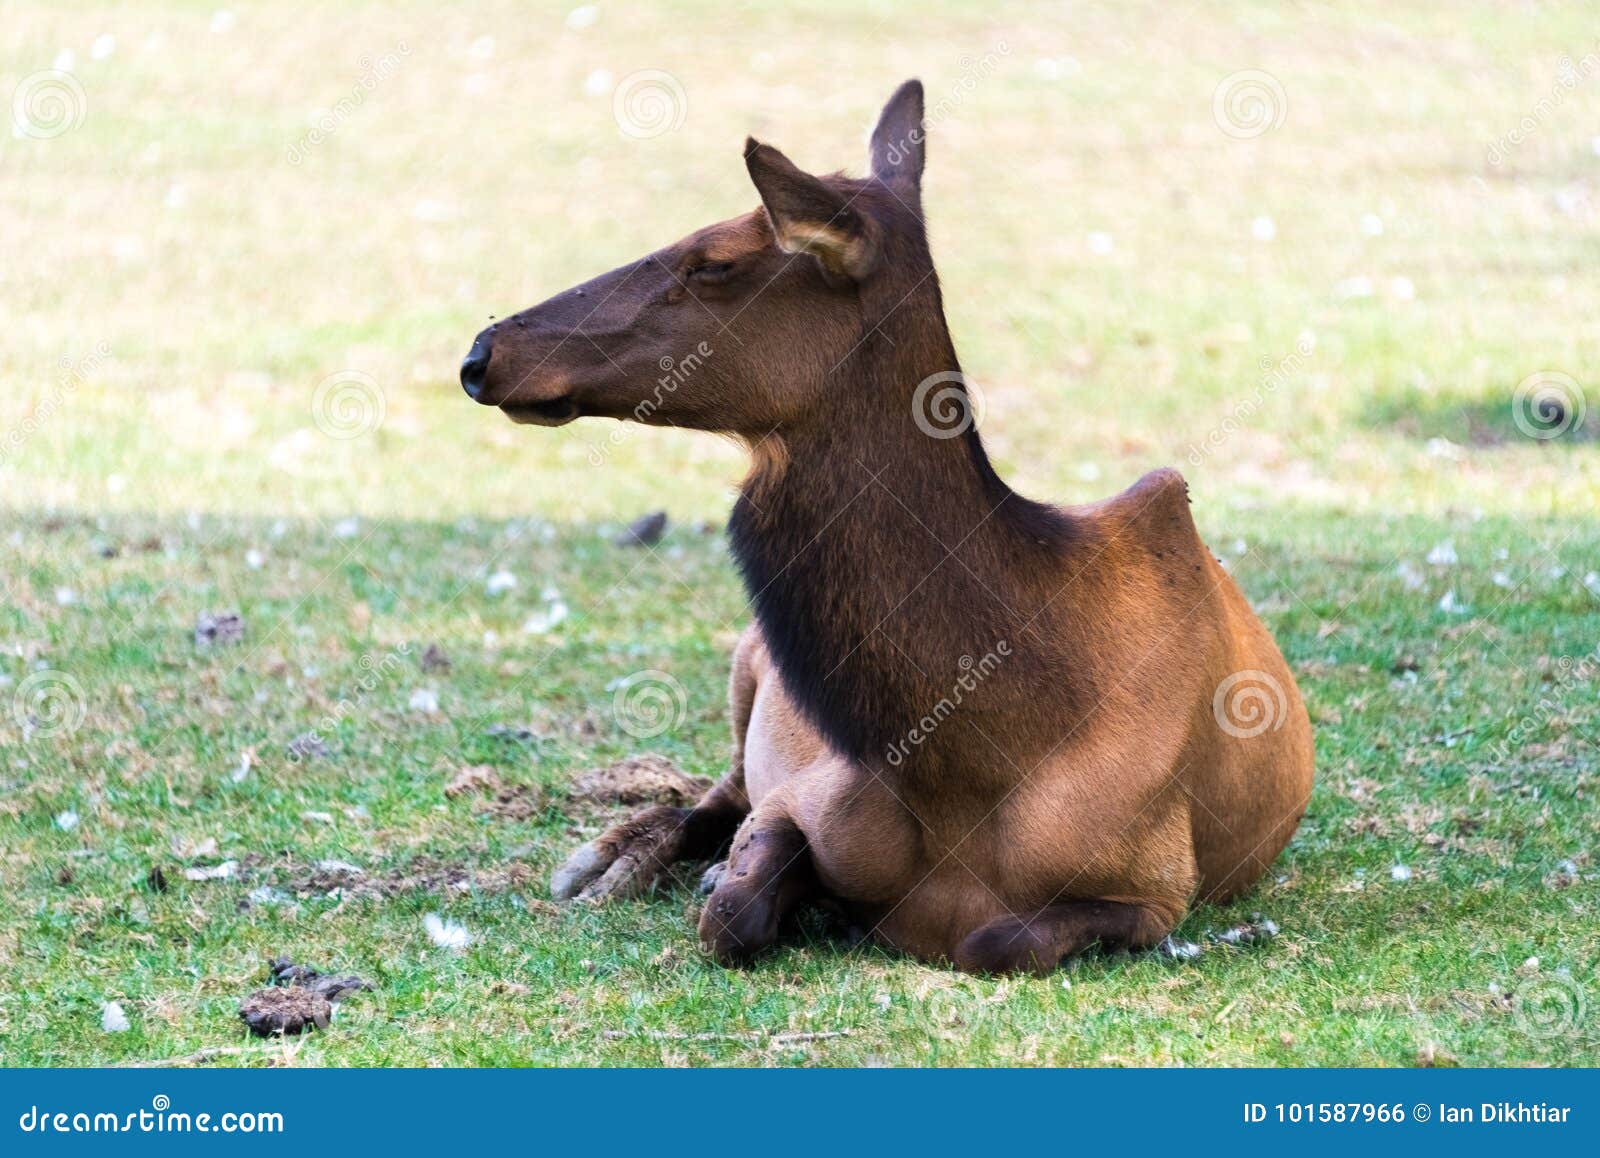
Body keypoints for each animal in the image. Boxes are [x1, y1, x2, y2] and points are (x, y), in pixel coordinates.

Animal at [459, 80, 1315, 975]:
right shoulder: (798, 796)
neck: (975, 751)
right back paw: (613, 858)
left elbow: (994, 939)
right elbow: (732, 913)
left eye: (714, 261)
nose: (482, 352)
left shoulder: (1157, 888)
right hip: (744, 665)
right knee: (715, 791)